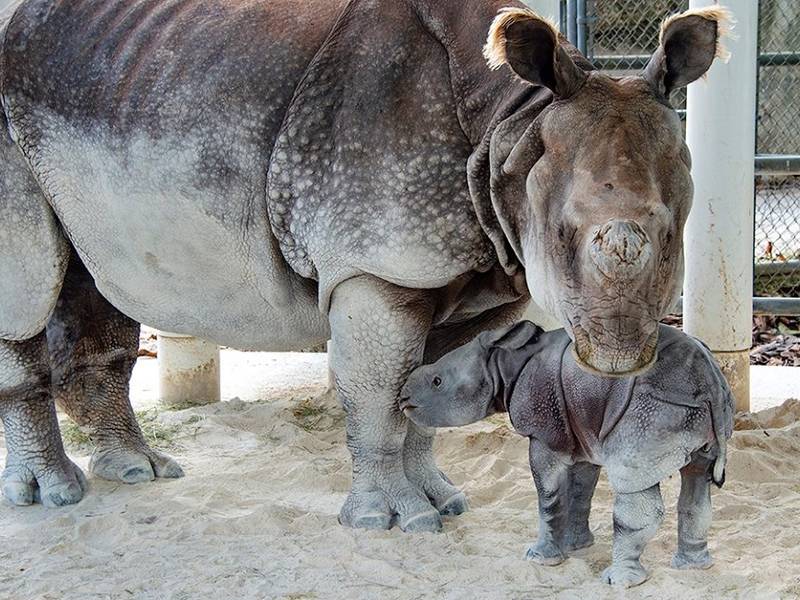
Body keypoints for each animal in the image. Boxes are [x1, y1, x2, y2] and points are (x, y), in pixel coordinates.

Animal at [0, 0, 729, 532]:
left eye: (674, 235)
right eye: (561, 233)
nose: (621, 361)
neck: (511, 124)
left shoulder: (478, 276)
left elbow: (430, 390)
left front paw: (443, 503)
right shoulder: (379, 262)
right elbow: (379, 393)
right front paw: (392, 521)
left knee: (85, 281)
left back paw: (136, 472)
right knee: (28, 291)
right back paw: (54, 496)